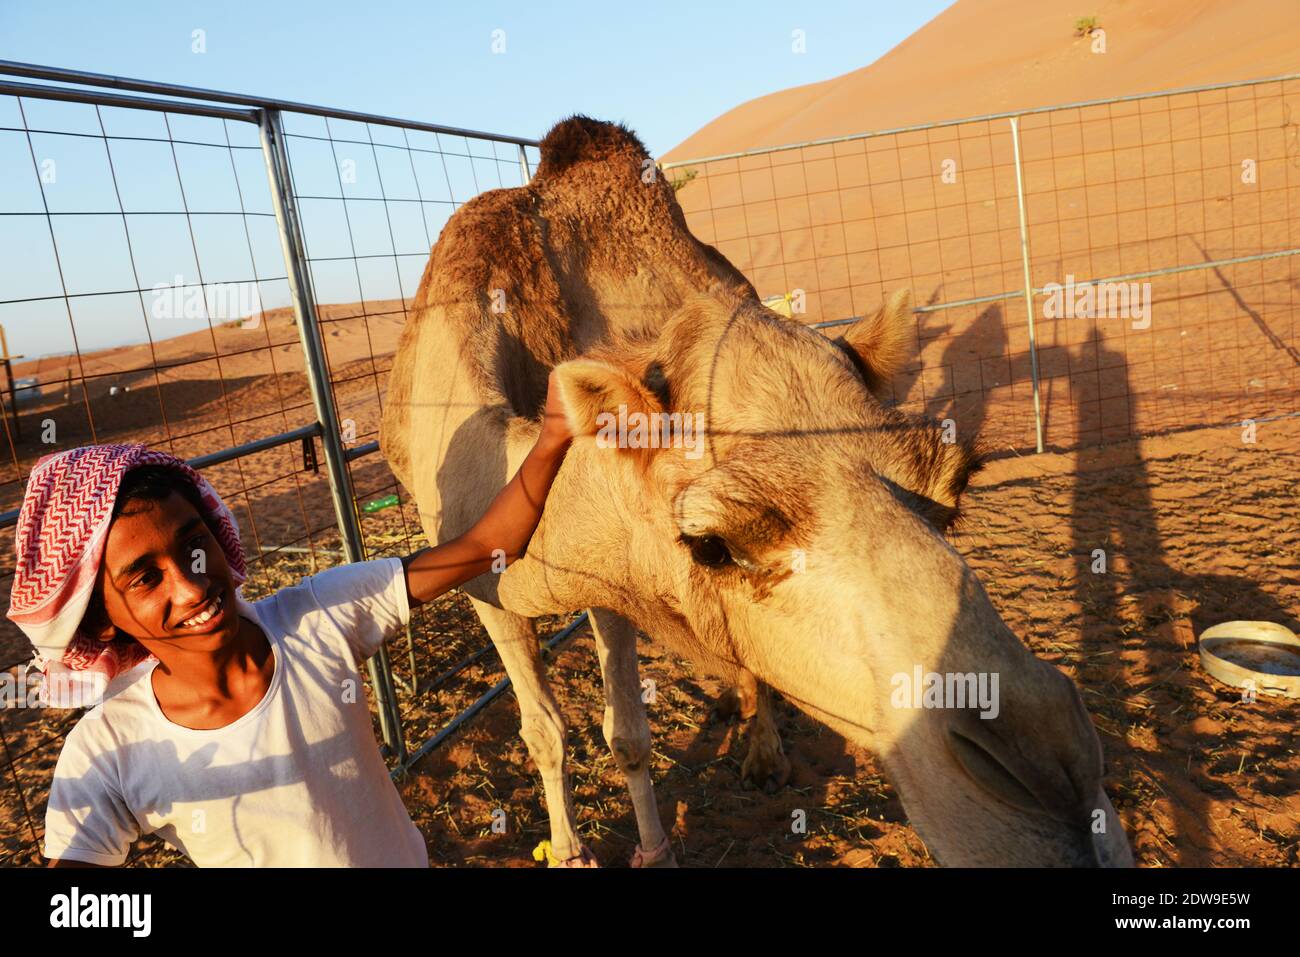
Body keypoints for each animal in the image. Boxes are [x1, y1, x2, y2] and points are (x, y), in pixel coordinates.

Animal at [380, 116, 1134, 867]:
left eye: (954, 490)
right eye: (711, 545)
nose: (1064, 789)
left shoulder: (609, 583)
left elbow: (628, 735)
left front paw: (656, 850)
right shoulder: (499, 585)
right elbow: (544, 731)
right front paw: (569, 851)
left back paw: (763, 752)